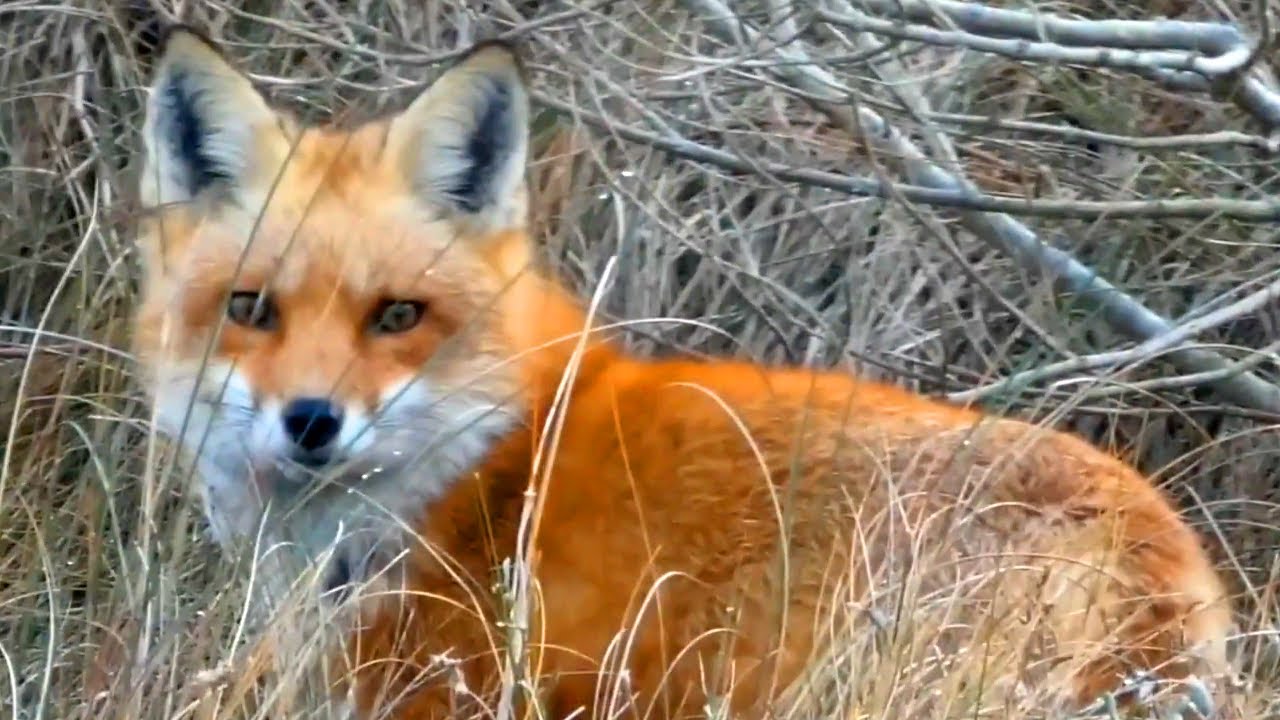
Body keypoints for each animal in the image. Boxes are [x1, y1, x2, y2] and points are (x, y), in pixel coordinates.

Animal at [130, 24, 1235, 720]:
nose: (311, 421)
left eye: (396, 316)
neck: (479, 469)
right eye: (251, 309)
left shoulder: (466, 693)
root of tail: (1156, 544)